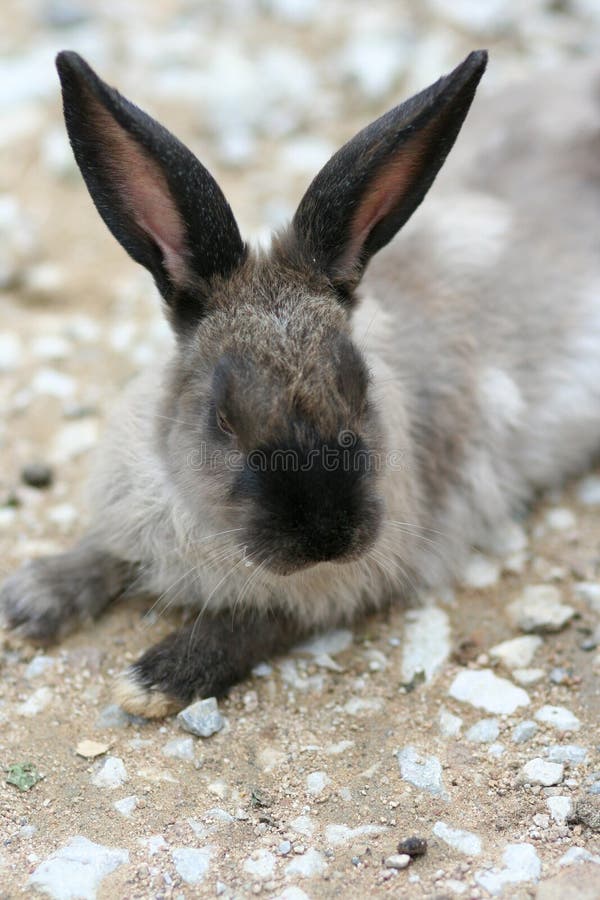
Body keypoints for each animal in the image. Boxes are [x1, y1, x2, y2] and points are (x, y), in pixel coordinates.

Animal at [2, 48, 599, 718]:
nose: (327, 537)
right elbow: (104, 550)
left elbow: (251, 624)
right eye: (222, 415)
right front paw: (32, 600)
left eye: (360, 390)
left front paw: (151, 683)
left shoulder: (335, 588)